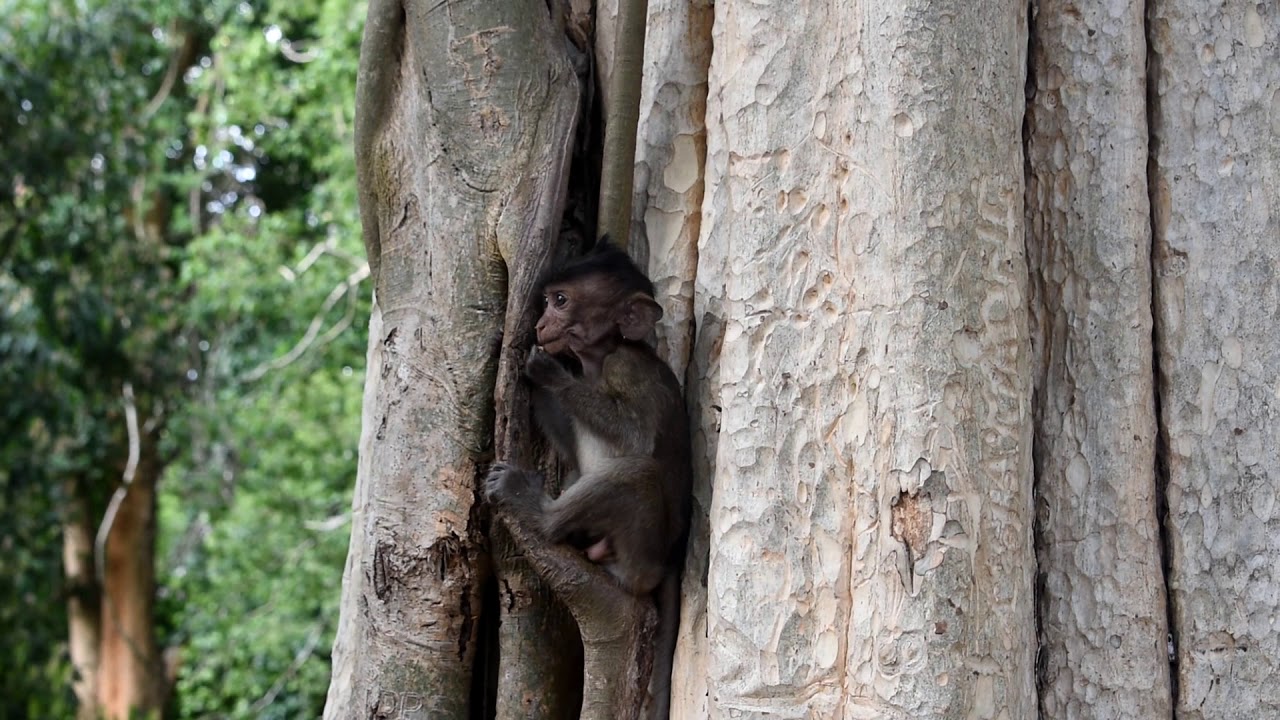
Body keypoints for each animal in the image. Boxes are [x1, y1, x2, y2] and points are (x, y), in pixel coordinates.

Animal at [484, 240, 691, 719]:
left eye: (561, 300)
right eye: (546, 301)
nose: (540, 322)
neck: (596, 363)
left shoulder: (627, 366)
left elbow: (635, 435)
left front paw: (550, 373)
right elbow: (567, 440)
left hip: (642, 550)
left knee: (636, 474)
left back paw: (539, 513)